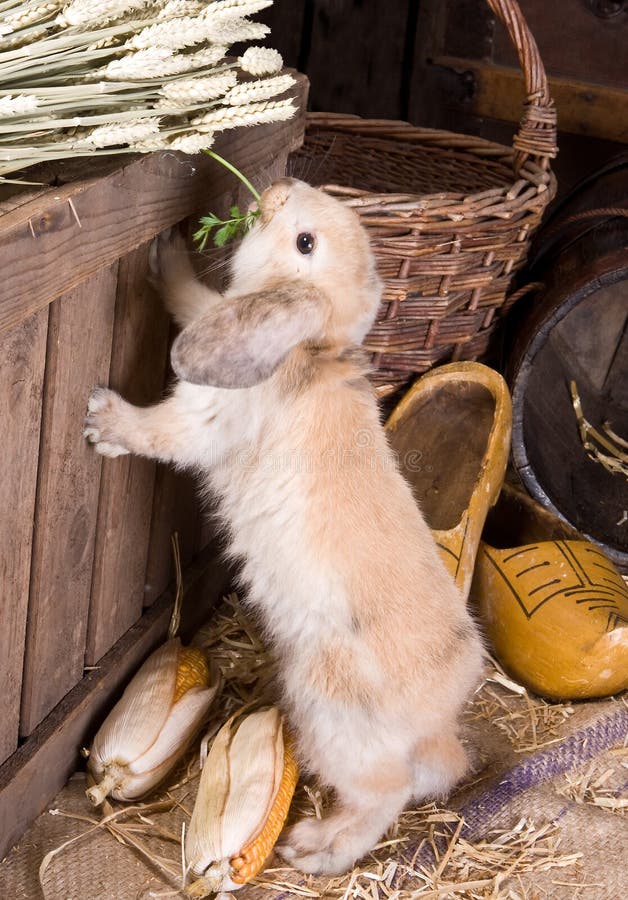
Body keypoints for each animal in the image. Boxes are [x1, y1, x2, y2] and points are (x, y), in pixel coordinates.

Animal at [83, 177, 484, 876]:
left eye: (304, 242)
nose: (279, 187)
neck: (310, 347)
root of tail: (436, 725)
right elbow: (199, 302)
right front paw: (167, 256)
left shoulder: (202, 419)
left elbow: (161, 433)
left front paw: (104, 422)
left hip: (330, 714)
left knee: (386, 793)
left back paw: (315, 850)